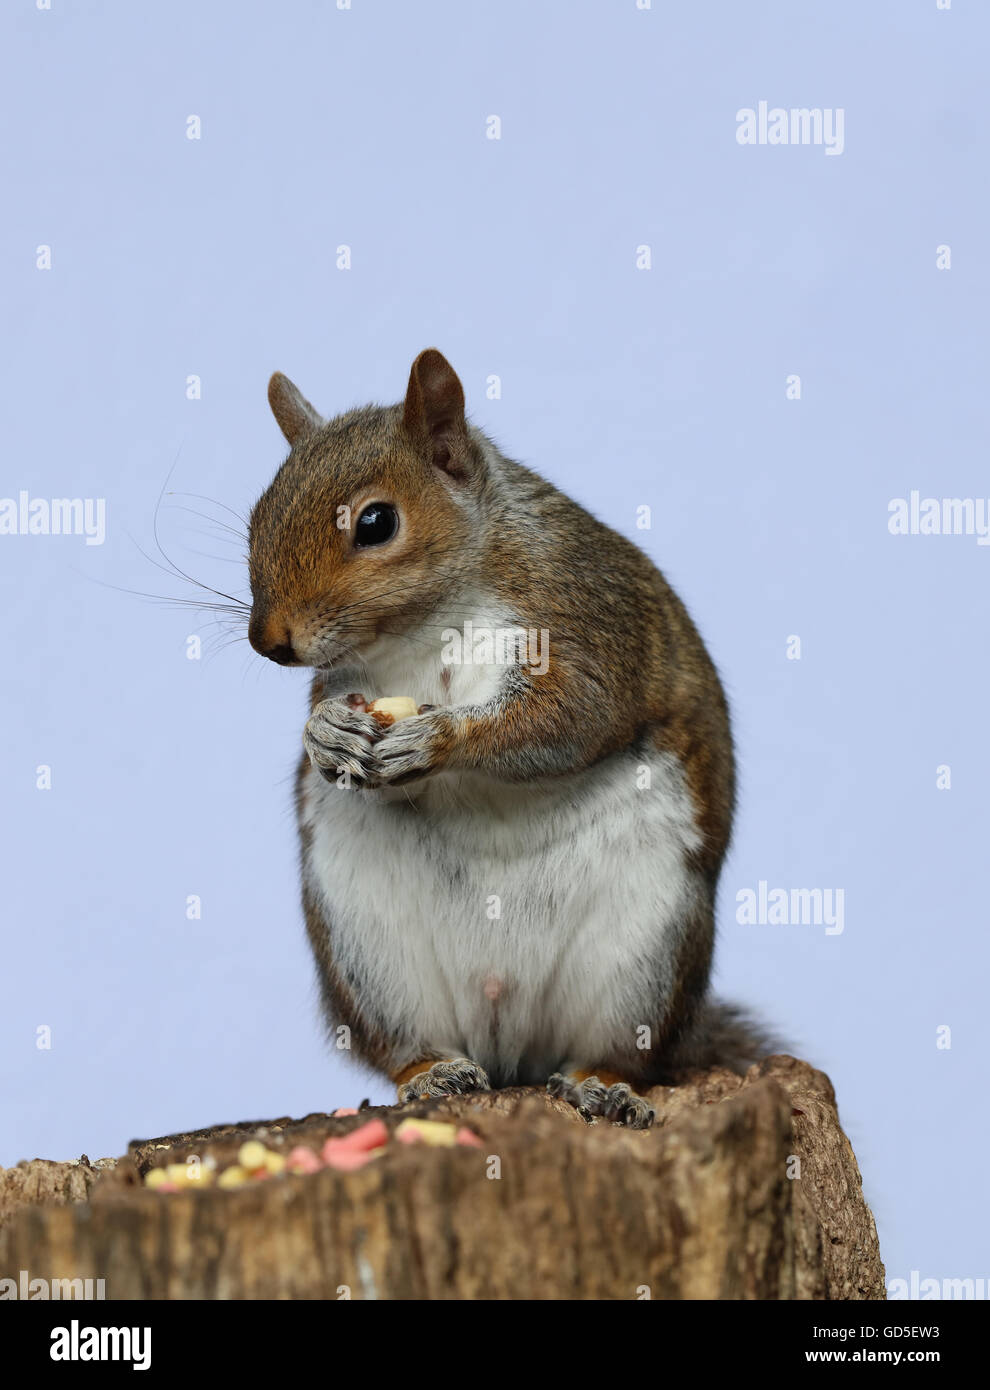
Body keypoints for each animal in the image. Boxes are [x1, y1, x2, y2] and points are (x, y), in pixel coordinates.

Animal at [247, 348, 775, 1128]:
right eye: (257, 516)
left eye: (376, 522)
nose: (268, 641)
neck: (428, 619)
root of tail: (508, 1037)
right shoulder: (348, 676)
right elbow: (335, 726)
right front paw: (327, 734)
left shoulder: (584, 615)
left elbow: (569, 715)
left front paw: (436, 738)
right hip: (368, 950)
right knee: (404, 1044)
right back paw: (432, 1074)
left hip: (645, 949)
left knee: (621, 1052)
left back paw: (600, 1086)